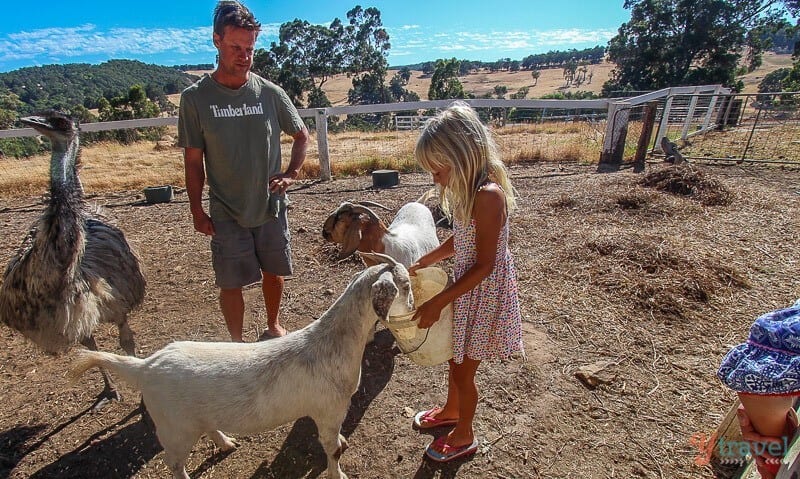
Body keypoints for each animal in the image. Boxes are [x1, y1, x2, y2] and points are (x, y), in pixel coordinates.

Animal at [68, 251, 412, 479]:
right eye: (406, 286)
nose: (413, 305)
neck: (331, 343)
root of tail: (144, 367)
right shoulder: (328, 410)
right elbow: (331, 448)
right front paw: (337, 472)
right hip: (174, 427)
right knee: (173, 462)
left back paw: (226, 443)